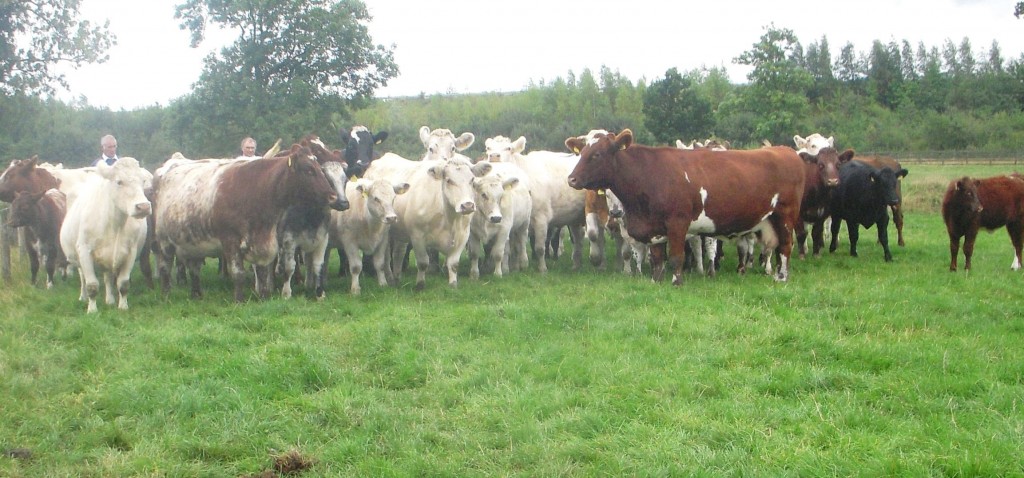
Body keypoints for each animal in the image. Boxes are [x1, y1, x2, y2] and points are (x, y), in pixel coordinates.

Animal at [60, 158, 151, 313]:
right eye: (119, 181)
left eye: (143, 181)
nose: (143, 207)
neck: (115, 223)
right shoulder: (84, 250)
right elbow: (92, 285)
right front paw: (92, 310)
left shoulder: (130, 252)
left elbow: (123, 283)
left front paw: (123, 306)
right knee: (82, 277)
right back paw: (83, 297)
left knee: (107, 277)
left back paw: (110, 300)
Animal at [153, 145, 342, 302]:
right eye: (309, 170)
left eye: (320, 169)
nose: (333, 197)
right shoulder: (230, 240)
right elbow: (238, 273)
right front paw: (239, 300)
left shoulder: (265, 240)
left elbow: (263, 271)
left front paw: (265, 296)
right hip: (164, 240)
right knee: (165, 267)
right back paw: (166, 295)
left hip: (192, 243)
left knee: (194, 269)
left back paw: (196, 294)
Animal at [363, 153, 491, 290]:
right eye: (449, 180)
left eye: (472, 180)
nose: (467, 206)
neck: (448, 217)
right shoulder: (417, 236)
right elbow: (423, 262)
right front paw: (420, 285)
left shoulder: (463, 235)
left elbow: (453, 264)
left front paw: (453, 284)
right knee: (387, 257)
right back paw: (390, 278)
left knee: (398, 253)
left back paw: (397, 277)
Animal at [566, 129, 806, 285]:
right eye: (581, 153)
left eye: (596, 154)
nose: (572, 179)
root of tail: (785, 151)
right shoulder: (654, 227)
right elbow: (656, 257)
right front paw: (656, 280)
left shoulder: (678, 222)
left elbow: (676, 256)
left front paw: (676, 281)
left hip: (785, 215)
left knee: (786, 245)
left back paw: (782, 277)